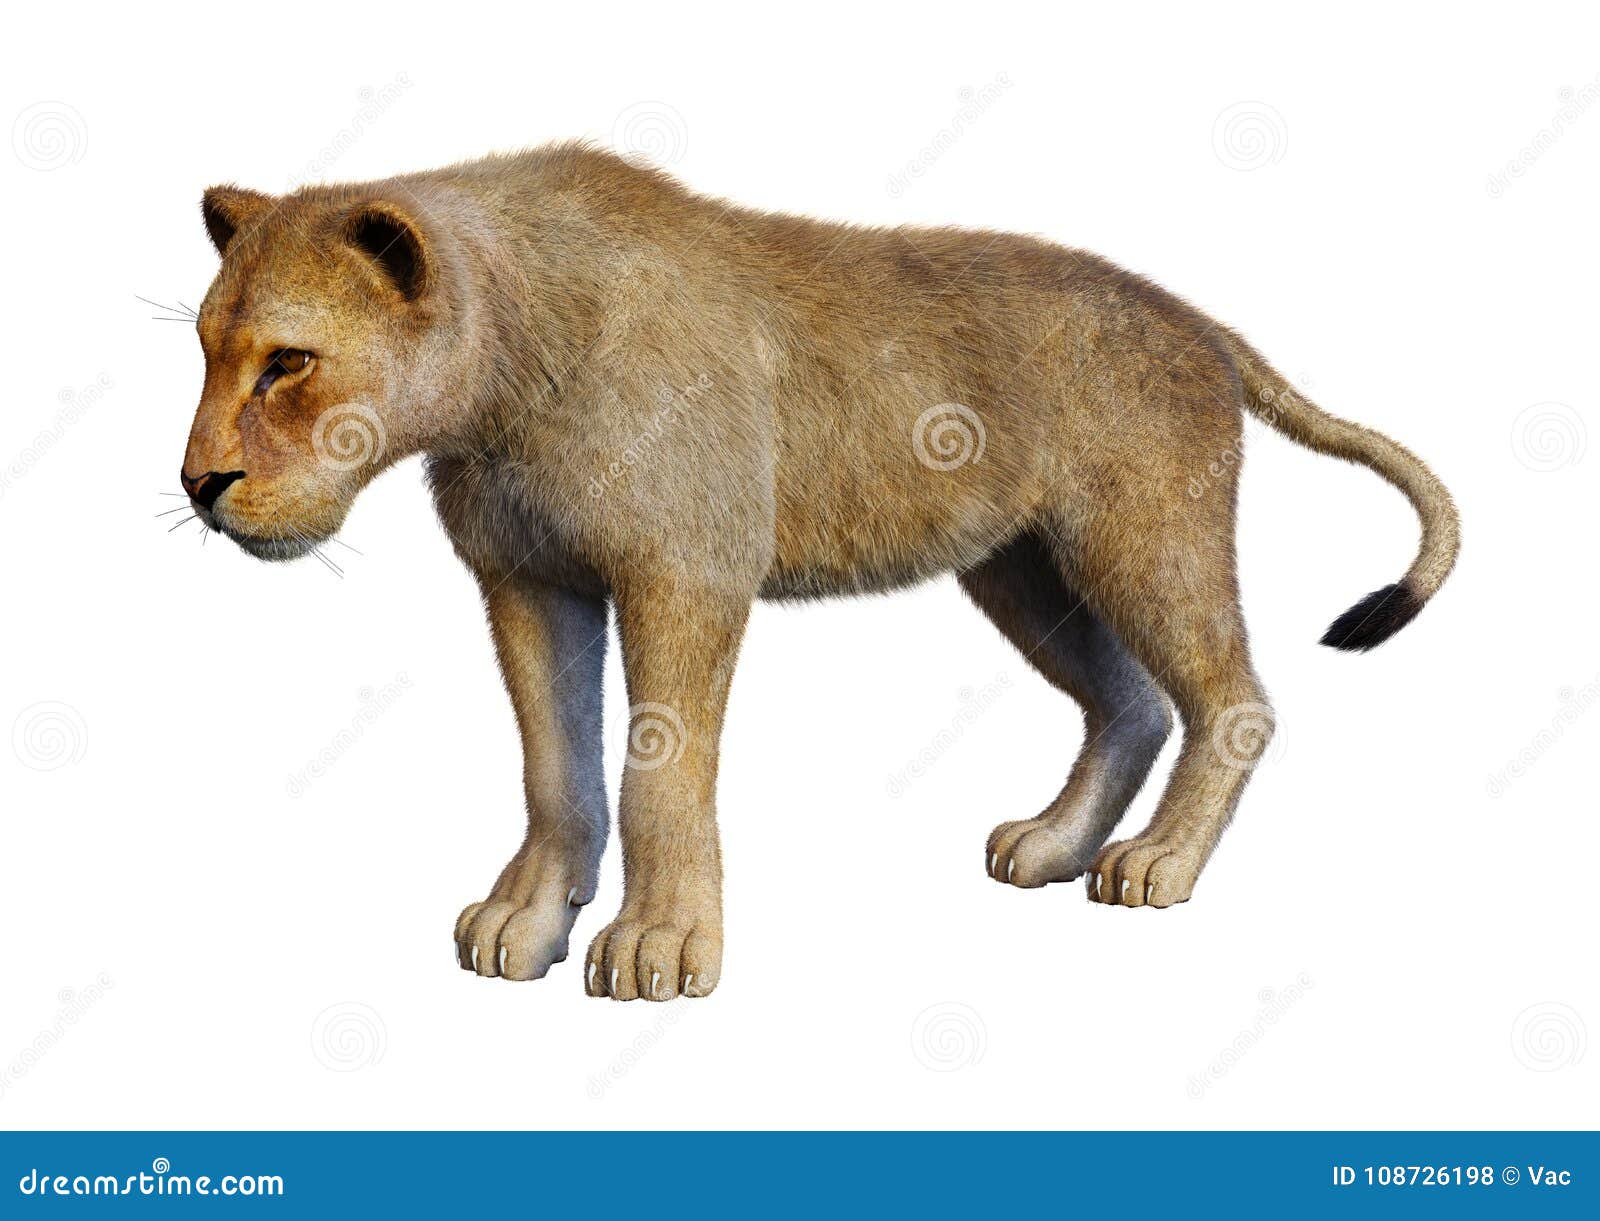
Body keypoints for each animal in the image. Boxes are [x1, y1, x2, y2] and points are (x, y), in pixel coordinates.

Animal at [180, 143, 1458, 1000]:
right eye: (203, 349)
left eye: (288, 362)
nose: (199, 485)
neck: (501, 379)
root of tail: (1199, 321)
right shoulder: (528, 582)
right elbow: (554, 766)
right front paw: (527, 920)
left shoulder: (684, 573)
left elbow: (658, 770)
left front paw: (658, 947)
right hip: (1025, 570)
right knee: (1133, 703)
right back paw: (1054, 847)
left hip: (1143, 537)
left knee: (1231, 700)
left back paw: (1155, 865)